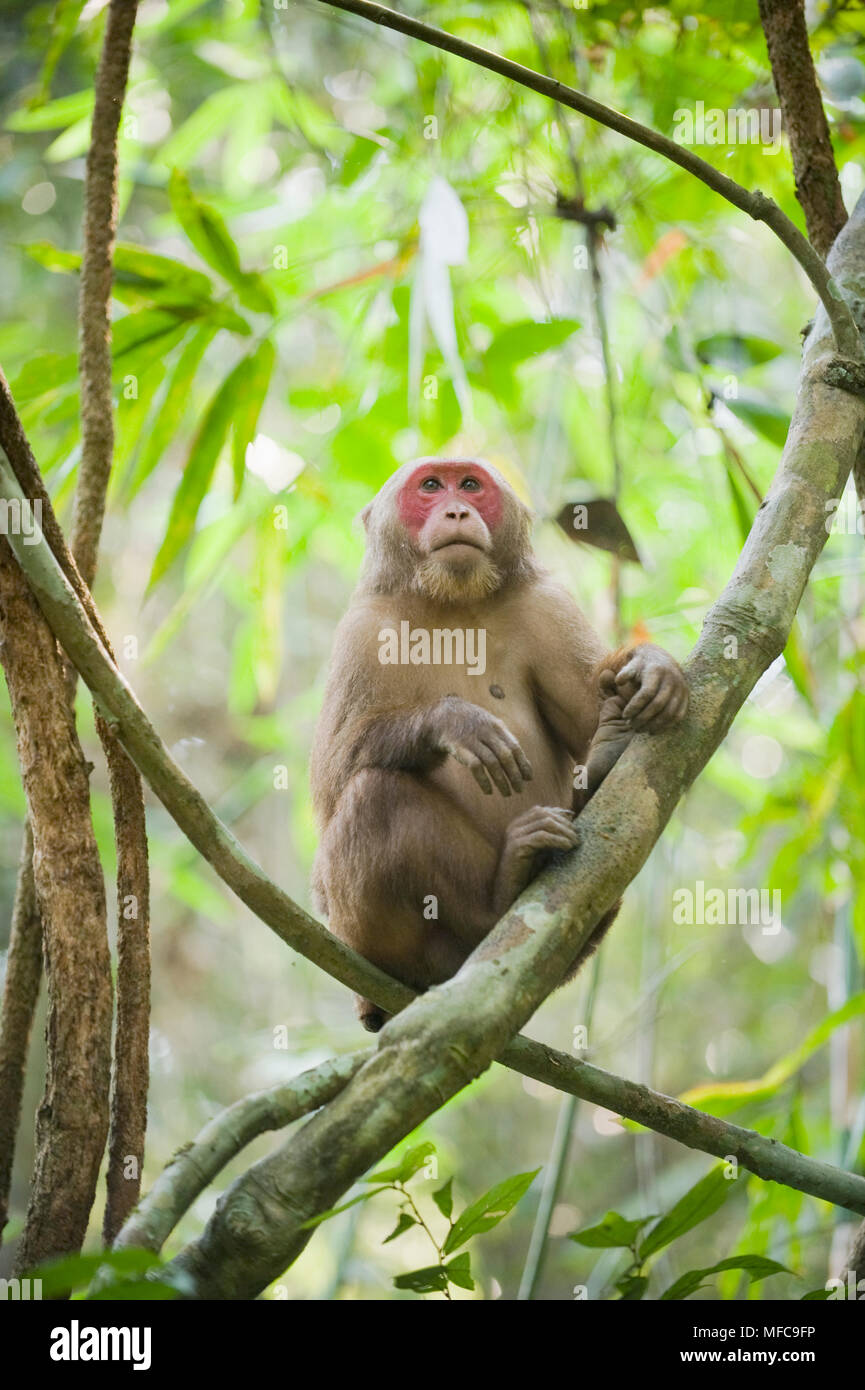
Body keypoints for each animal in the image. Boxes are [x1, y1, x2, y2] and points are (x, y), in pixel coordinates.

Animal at [310, 457, 688, 1031]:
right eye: (430, 486)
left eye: (469, 485)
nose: (456, 510)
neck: (450, 600)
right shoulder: (361, 630)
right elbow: (331, 783)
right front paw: (455, 723)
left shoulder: (546, 606)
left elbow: (587, 712)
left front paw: (649, 665)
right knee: (373, 796)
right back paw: (497, 897)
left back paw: (605, 759)